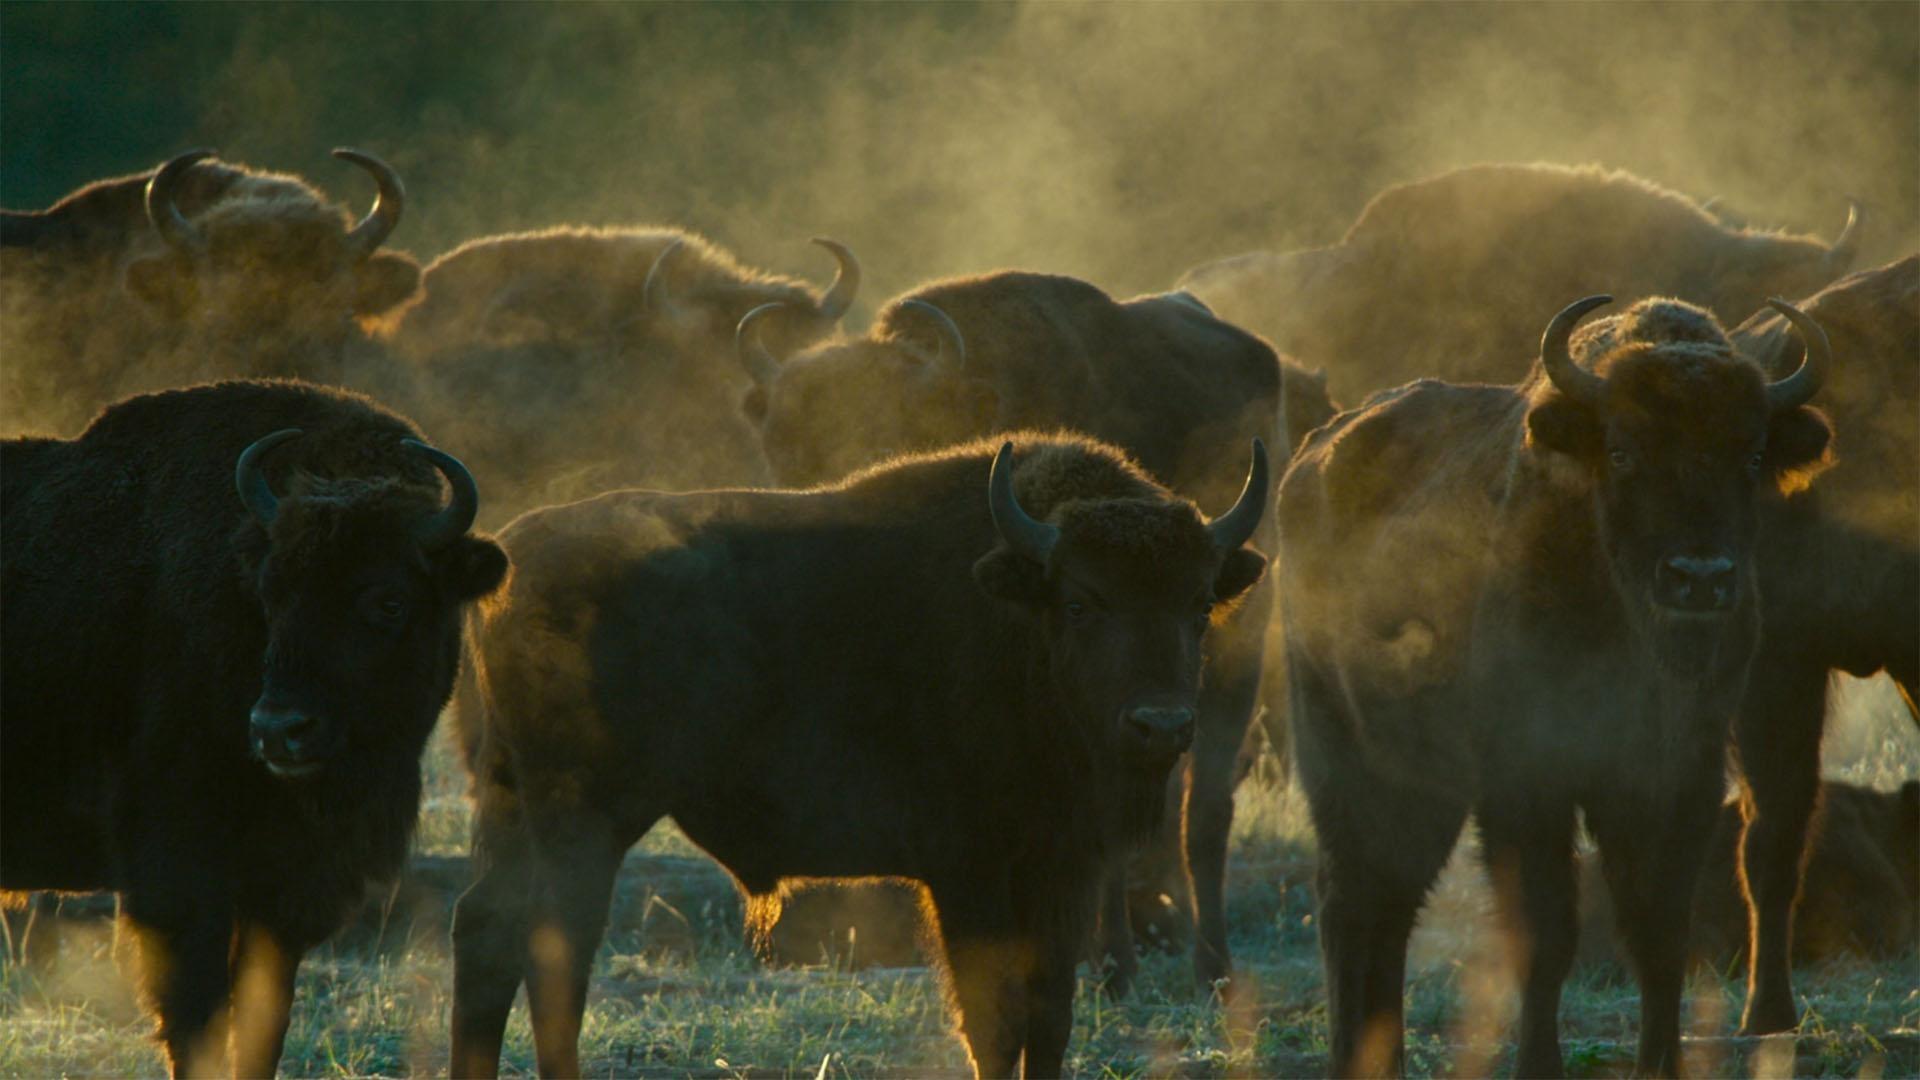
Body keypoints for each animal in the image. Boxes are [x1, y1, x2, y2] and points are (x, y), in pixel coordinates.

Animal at [1, 381, 506, 1076]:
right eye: (271, 593)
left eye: (389, 600)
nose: (278, 730)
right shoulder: (182, 883)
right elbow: (198, 1023)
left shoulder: (287, 896)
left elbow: (264, 1022)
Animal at [451, 433, 1269, 1078]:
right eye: (1080, 602)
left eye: (1199, 605)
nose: (1161, 725)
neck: (1014, 620)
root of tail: (509, 566)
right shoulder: (967, 872)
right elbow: (994, 1019)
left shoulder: (1061, 868)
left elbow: (1049, 1018)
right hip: (583, 821)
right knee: (555, 952)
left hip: (510, 805)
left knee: (487, 934)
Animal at [1279, 295, 1835, 1075]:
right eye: (1625, 449)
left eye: (1752, 454)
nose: (1699, 577)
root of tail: (1310, 459)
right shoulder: (1526, 783)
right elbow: (1546, 936)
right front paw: (1538, 1063)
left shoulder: (1676, 782)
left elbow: (1659, 932)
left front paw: (1660, 1063)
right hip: (1347, 759)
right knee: (1349, 899)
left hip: (1421, 785)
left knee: (1388, 900)